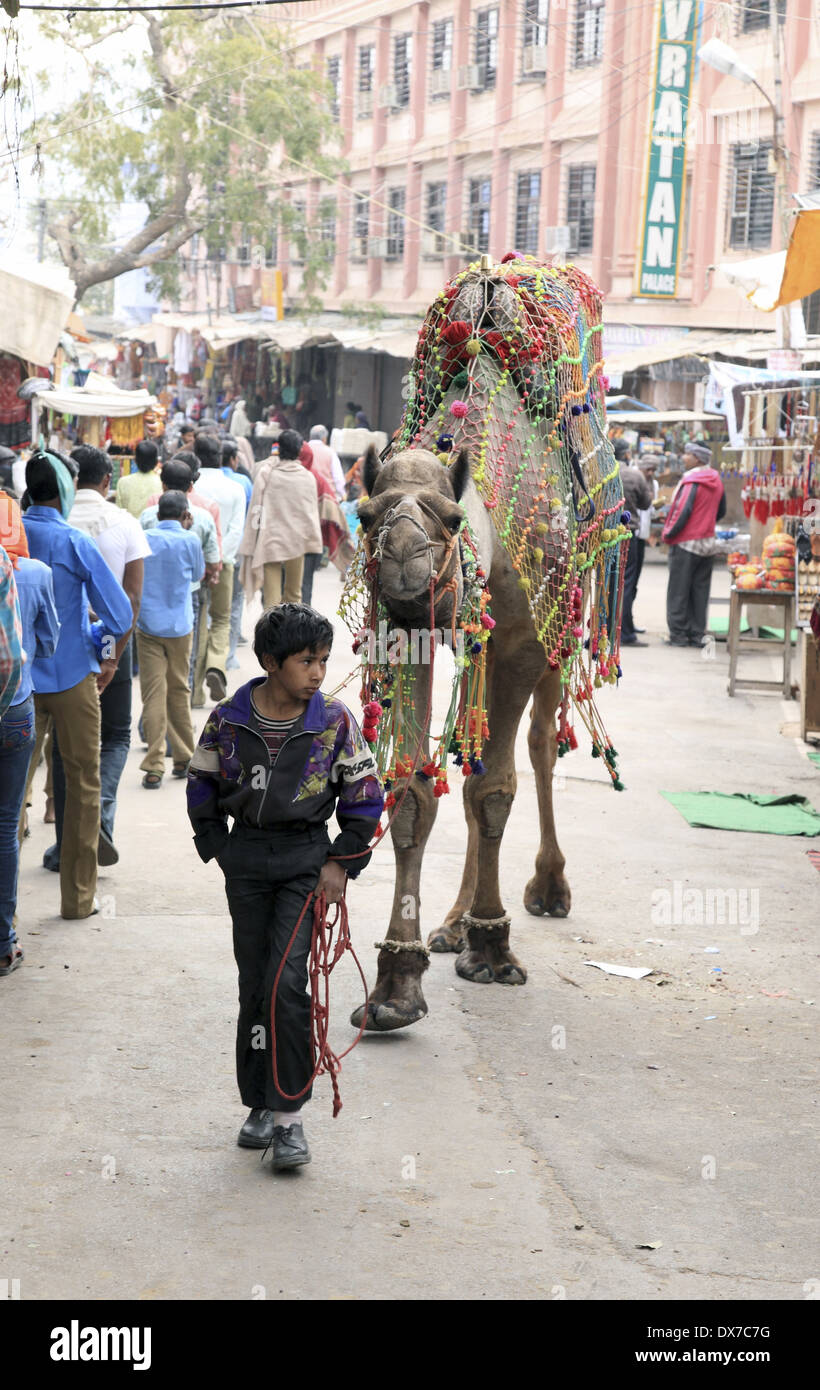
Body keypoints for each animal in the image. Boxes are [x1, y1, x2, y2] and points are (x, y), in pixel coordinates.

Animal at [344, 255, 627, 1032]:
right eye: (366, 513)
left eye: (448, 517)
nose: (405, 568)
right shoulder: (409, 637)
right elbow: (414, 791)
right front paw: (397, 982)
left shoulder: (525, 641)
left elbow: (495, 788)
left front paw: (495, 948)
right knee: (469, 751)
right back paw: (451, 924)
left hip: (561, 623)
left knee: (535, 745)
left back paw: (543, 890)